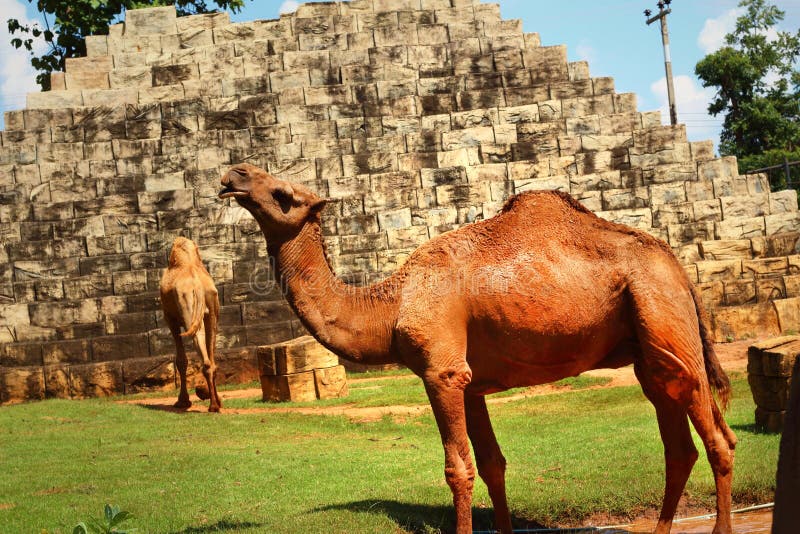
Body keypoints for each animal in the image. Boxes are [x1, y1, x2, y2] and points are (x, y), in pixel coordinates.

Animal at [159, 236, 222, 412]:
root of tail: (198, 286)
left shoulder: (170, 320)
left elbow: (181, 360)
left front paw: (182, 401)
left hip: (187, 307)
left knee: (198, 345)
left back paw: (212, 406)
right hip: (211, 306)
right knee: (211, 356)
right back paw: (216, 403)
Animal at [219, 163, 737, 534]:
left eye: (284, 195)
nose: (233, 175)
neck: (391, 304)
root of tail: (676, 264)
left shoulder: (441, 370)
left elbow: (458, 469)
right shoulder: (470, 382)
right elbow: (492, 465)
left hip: (662, 312)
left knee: (718, 439)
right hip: (649, 350)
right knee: (679, 443)